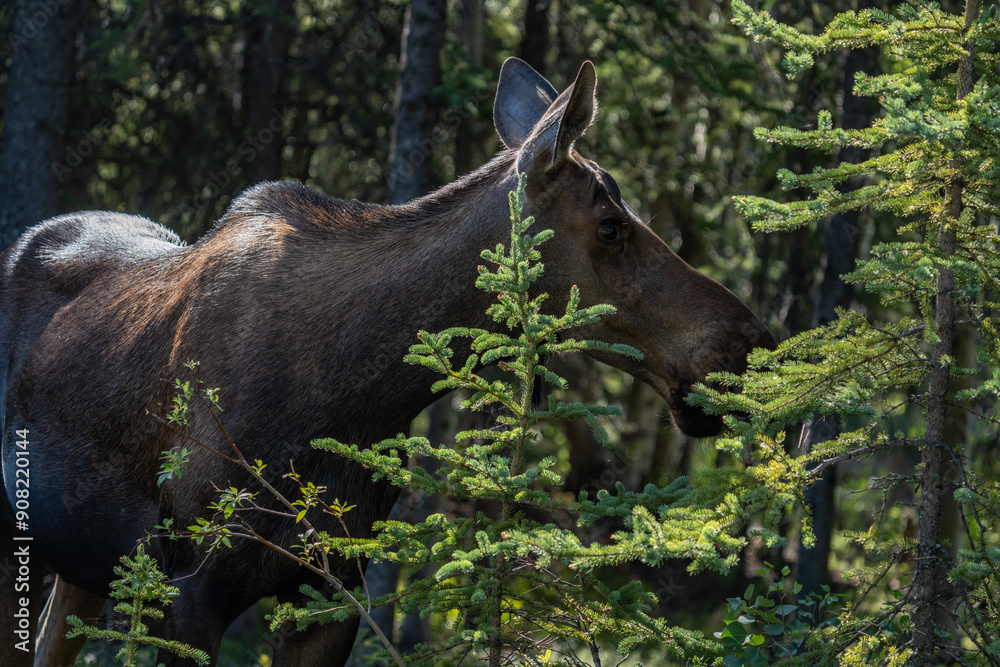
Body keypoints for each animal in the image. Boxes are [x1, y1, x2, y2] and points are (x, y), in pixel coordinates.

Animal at [0, 58, 774, 666]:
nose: (749, 341)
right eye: (611, 227)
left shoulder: (333, 591)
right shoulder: (191, 591)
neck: (357, 396)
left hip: (81, 561)